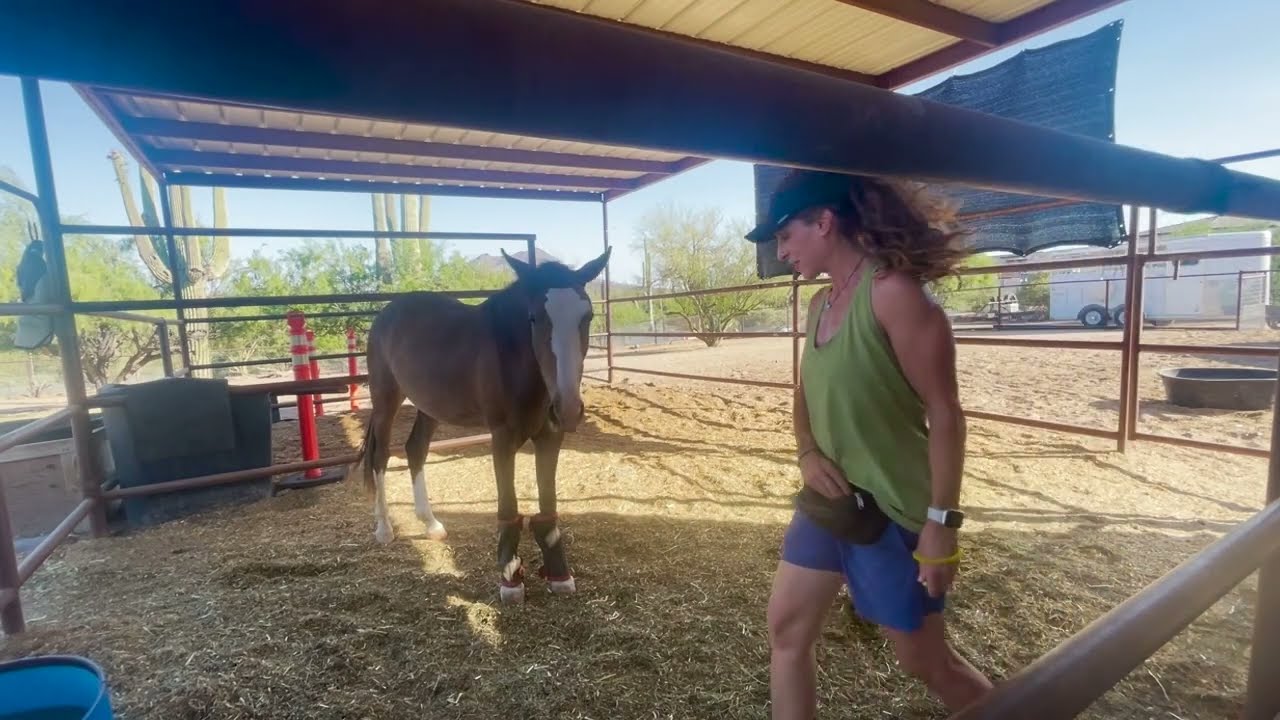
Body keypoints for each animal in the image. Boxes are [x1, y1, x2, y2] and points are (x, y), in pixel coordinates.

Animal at [348, 247, 611, 604]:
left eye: (588, 317)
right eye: (534, 318)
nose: (568, 409)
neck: (511, 358)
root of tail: (387, 312)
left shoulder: (549, 436)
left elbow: (548, 504)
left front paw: (559, 575)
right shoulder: (502, 438)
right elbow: (508, 506)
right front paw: (510, 578)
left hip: (429, 407)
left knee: (415, 450)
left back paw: (431, 524)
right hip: (385, 398)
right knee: (380, 456)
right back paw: (385, 528)